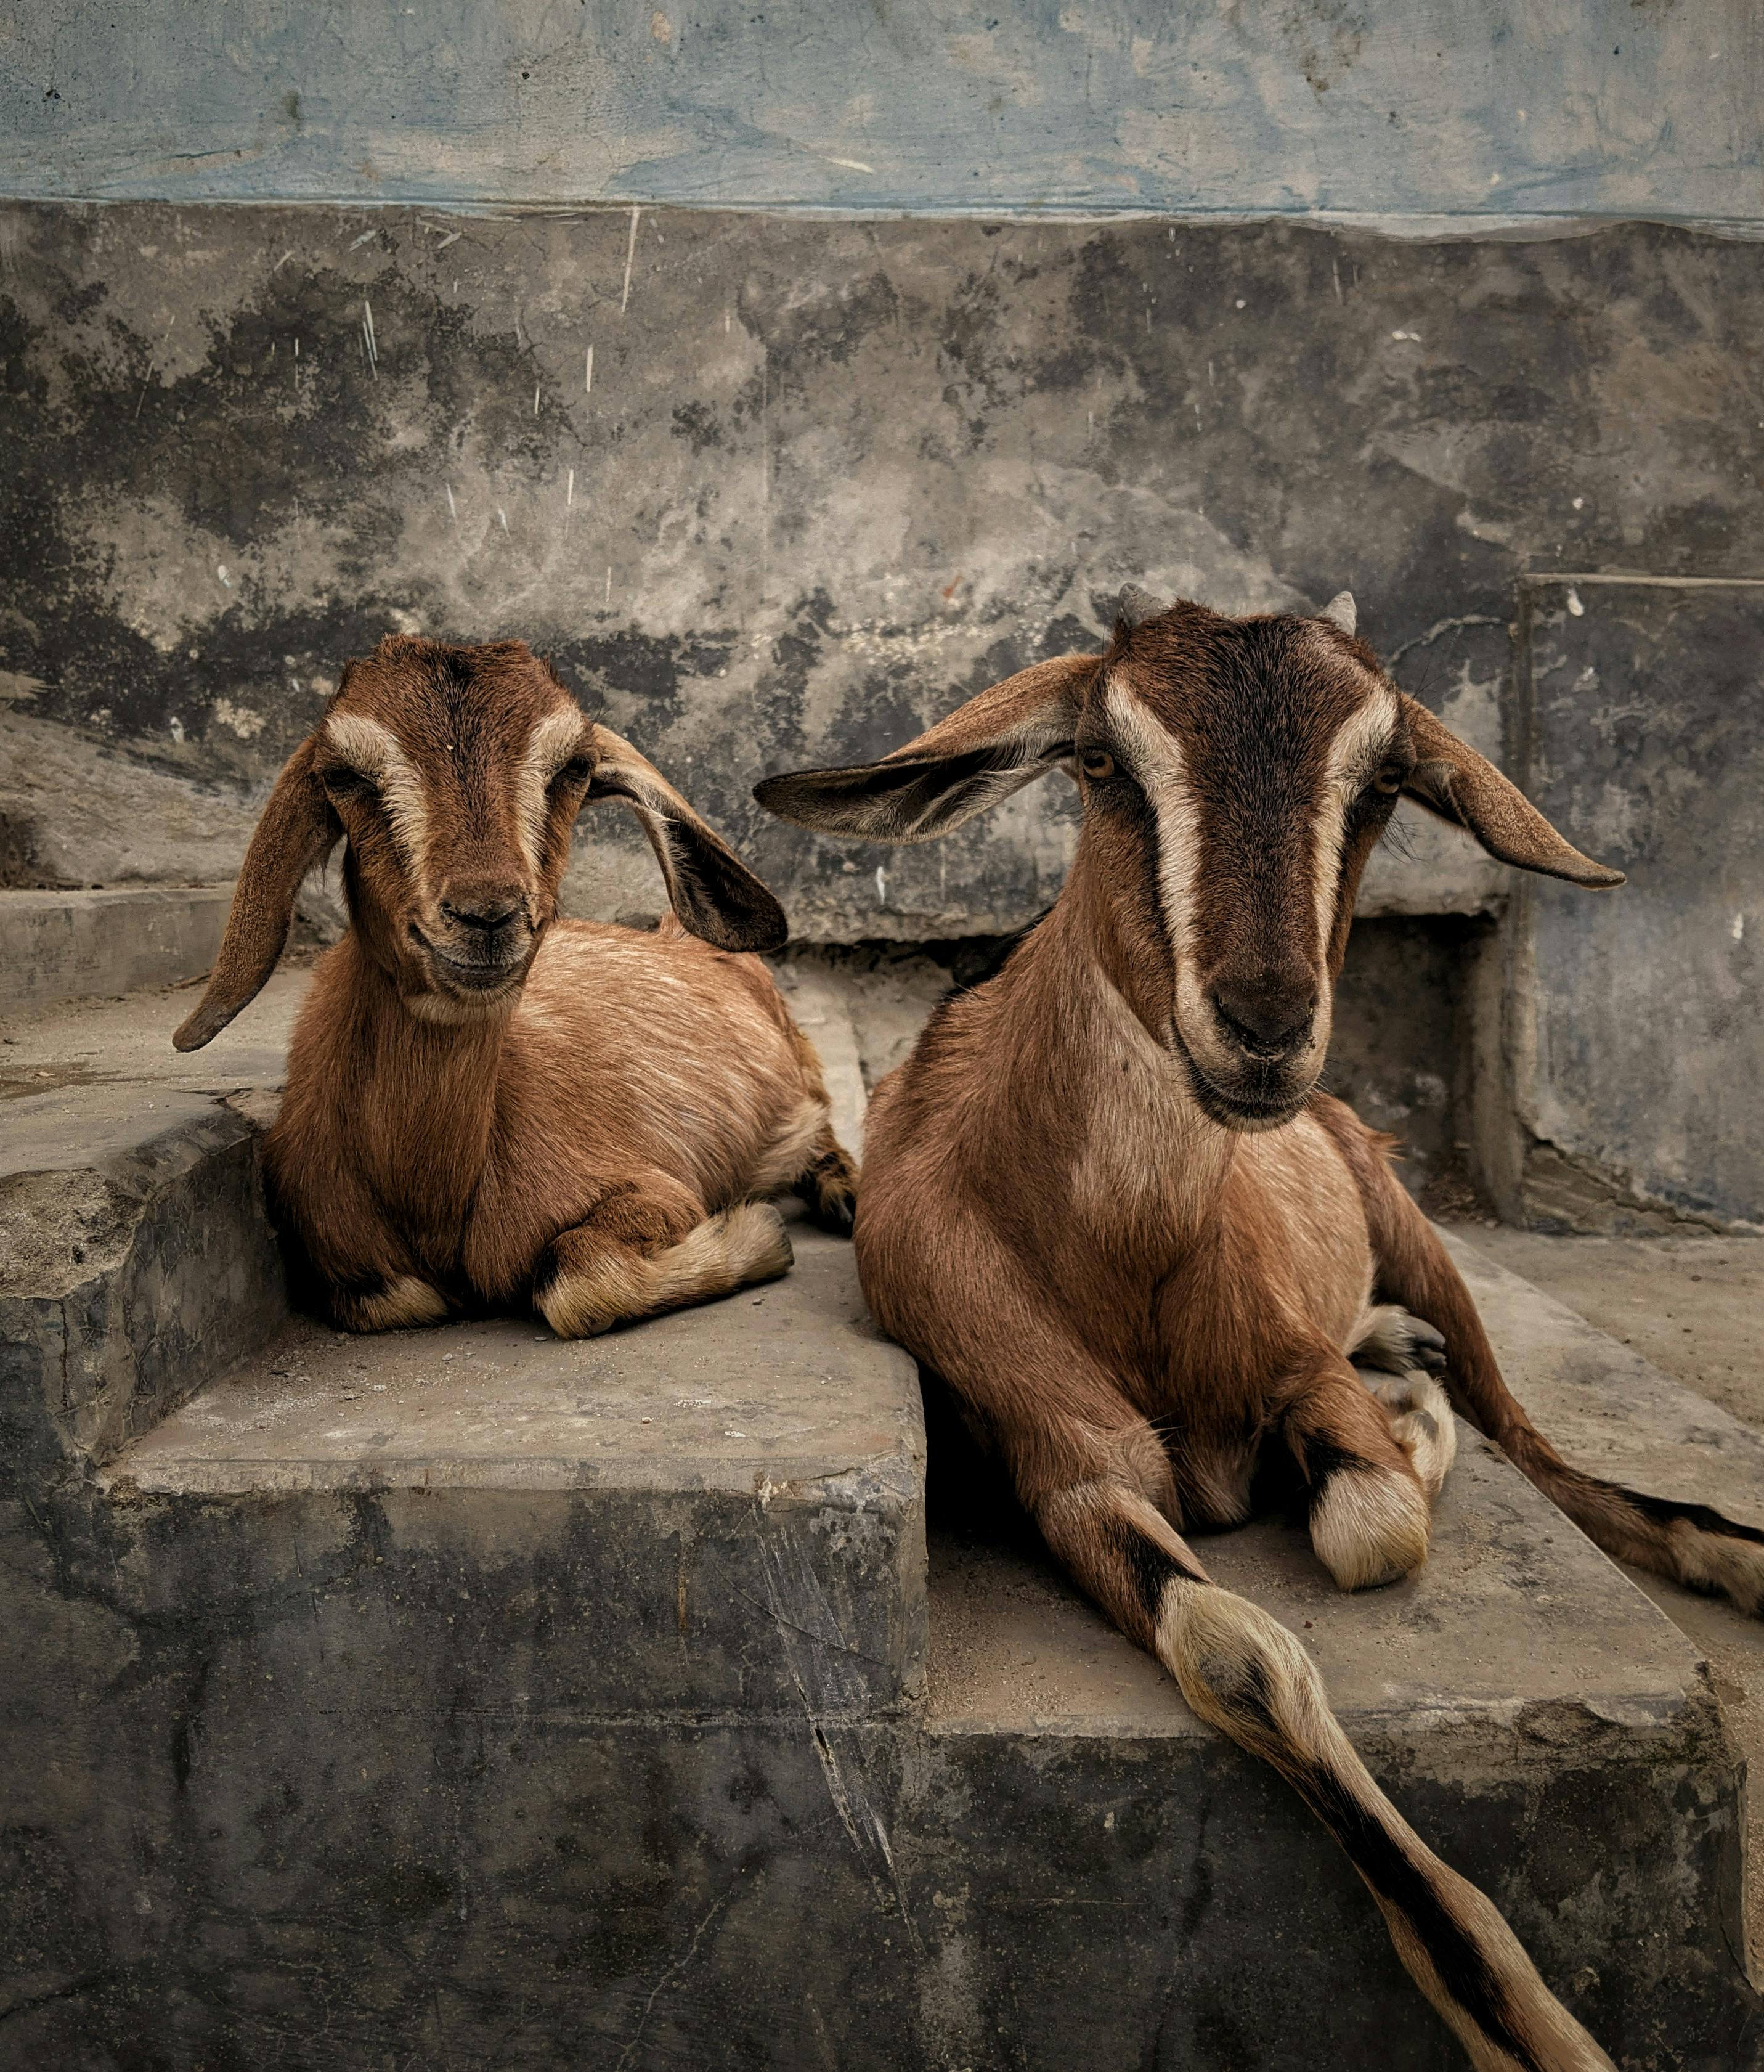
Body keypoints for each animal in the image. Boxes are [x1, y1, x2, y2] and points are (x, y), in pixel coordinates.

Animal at [174, 636, 855, 1335]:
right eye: (344, 776)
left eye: (574, 767)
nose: (486, 915)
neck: (431, 1200)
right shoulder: (352, 1271)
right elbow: (398, 1295)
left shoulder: (658, 1190)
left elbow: (575, 1277)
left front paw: (762, 1233)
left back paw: (844, 1196)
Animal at [756, 589, 1764, 2071]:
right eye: (1101, 760)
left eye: (1386, 780)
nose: (1265, 1024)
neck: (1117, 1255)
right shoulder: (1065, 1465)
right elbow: (1243, 1652)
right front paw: (1520, 2015)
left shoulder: (1296, 1373)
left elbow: (1376, 1525)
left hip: (1416, 1227)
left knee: (1546, 1445)